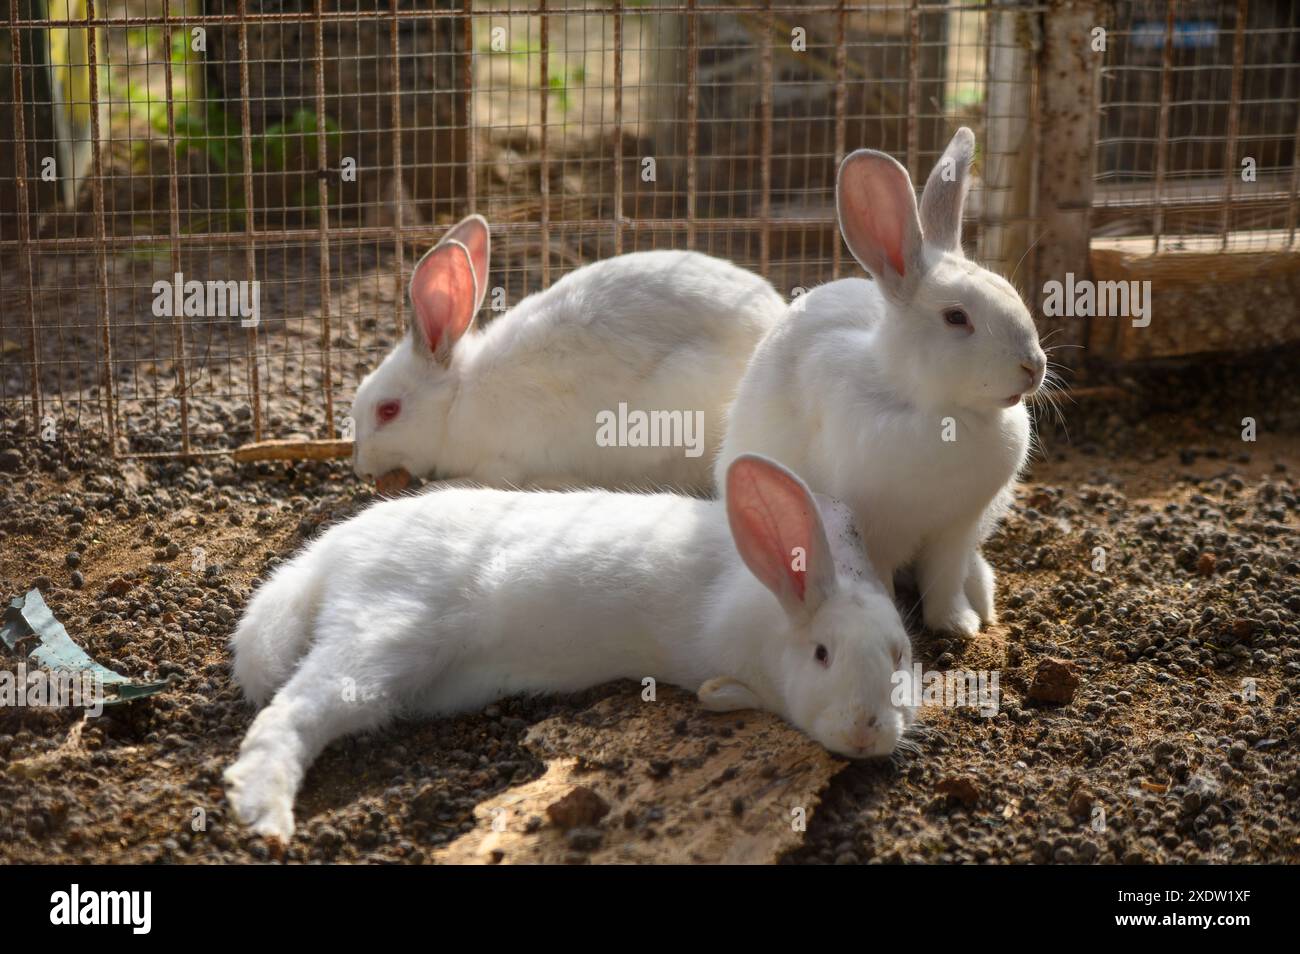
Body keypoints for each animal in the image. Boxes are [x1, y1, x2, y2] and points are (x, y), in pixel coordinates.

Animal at [224, 454, 914, 840]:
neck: (774, 610)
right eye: (822, 654)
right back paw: (264, 815)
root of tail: (332, 552)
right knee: (289, 713)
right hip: (383, 633)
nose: (866, 732)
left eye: (901, 654)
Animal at [715, 128, 1047, 638]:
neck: (941, 412)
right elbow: (885, 584)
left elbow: (945, 580)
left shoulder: (956, 531)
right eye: (956, 318)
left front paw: (959, 625)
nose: (1034, 366)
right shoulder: (877, 533)